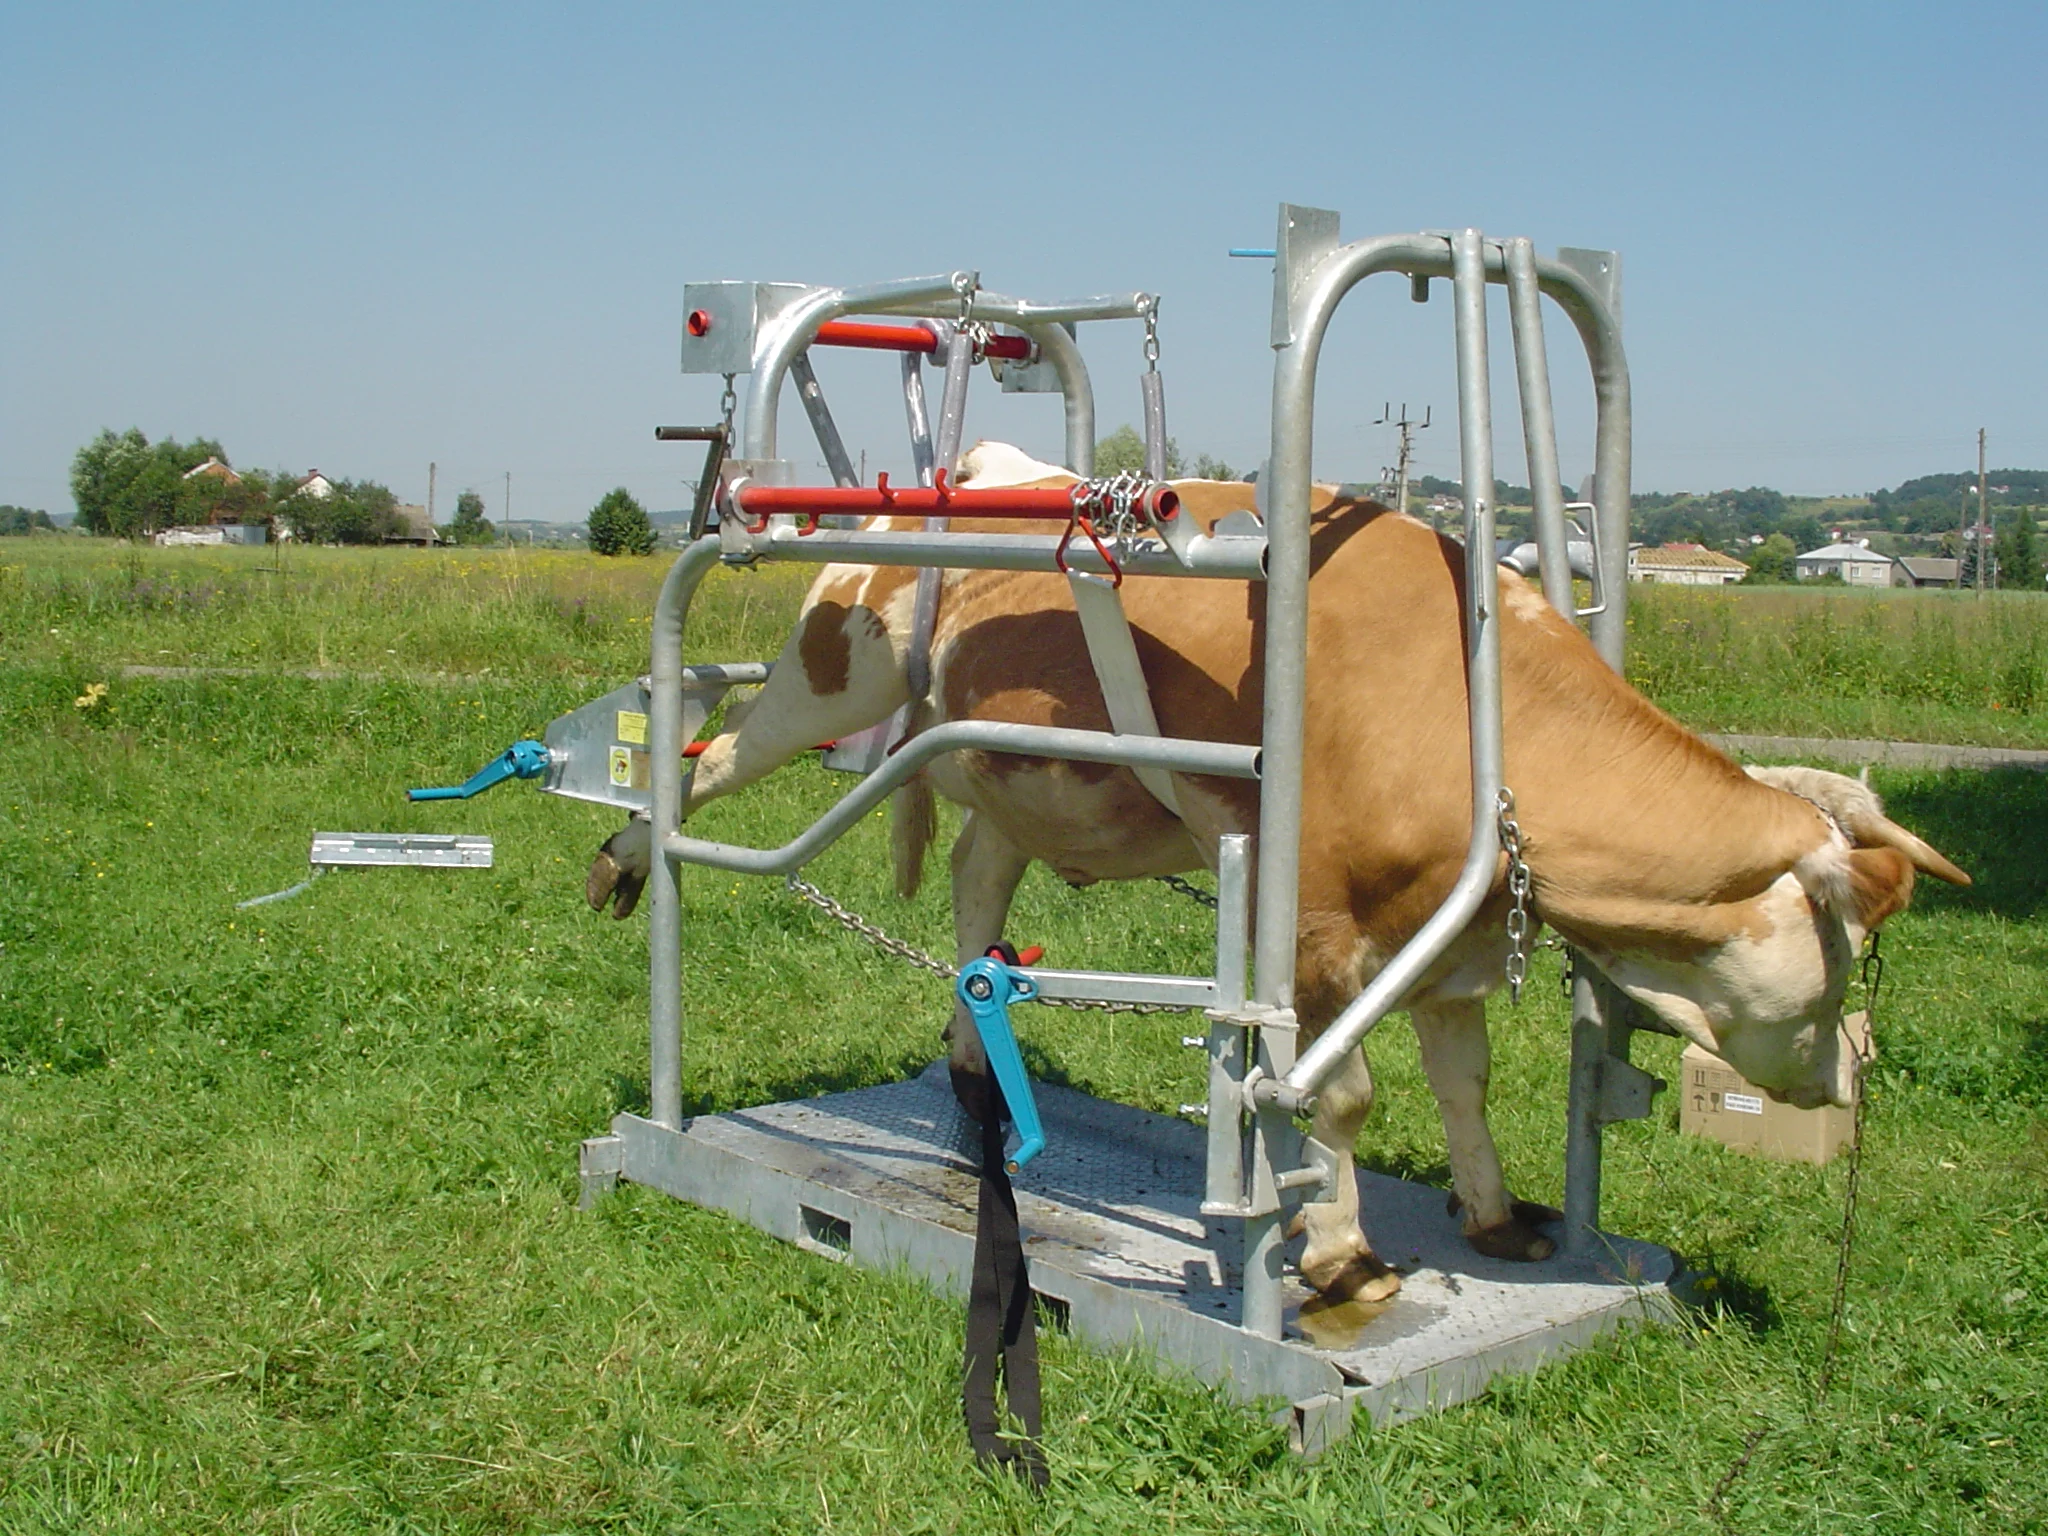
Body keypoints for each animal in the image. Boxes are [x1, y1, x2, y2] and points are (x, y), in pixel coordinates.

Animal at [586, 443, 1968, 1306]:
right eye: (1836, 966)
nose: (1840, 1083)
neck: (1472, 709)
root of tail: (968, 477)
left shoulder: (1453, 928)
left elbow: (1462, 1082)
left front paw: (1494, 1217)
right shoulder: (1311, 925)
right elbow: (1339, 1096)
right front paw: (1341, 1254)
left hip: (1012, 772)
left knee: (980, 892)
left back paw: (978, 1078)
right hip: (832, 677)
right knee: (706, 764)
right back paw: (625, 860)